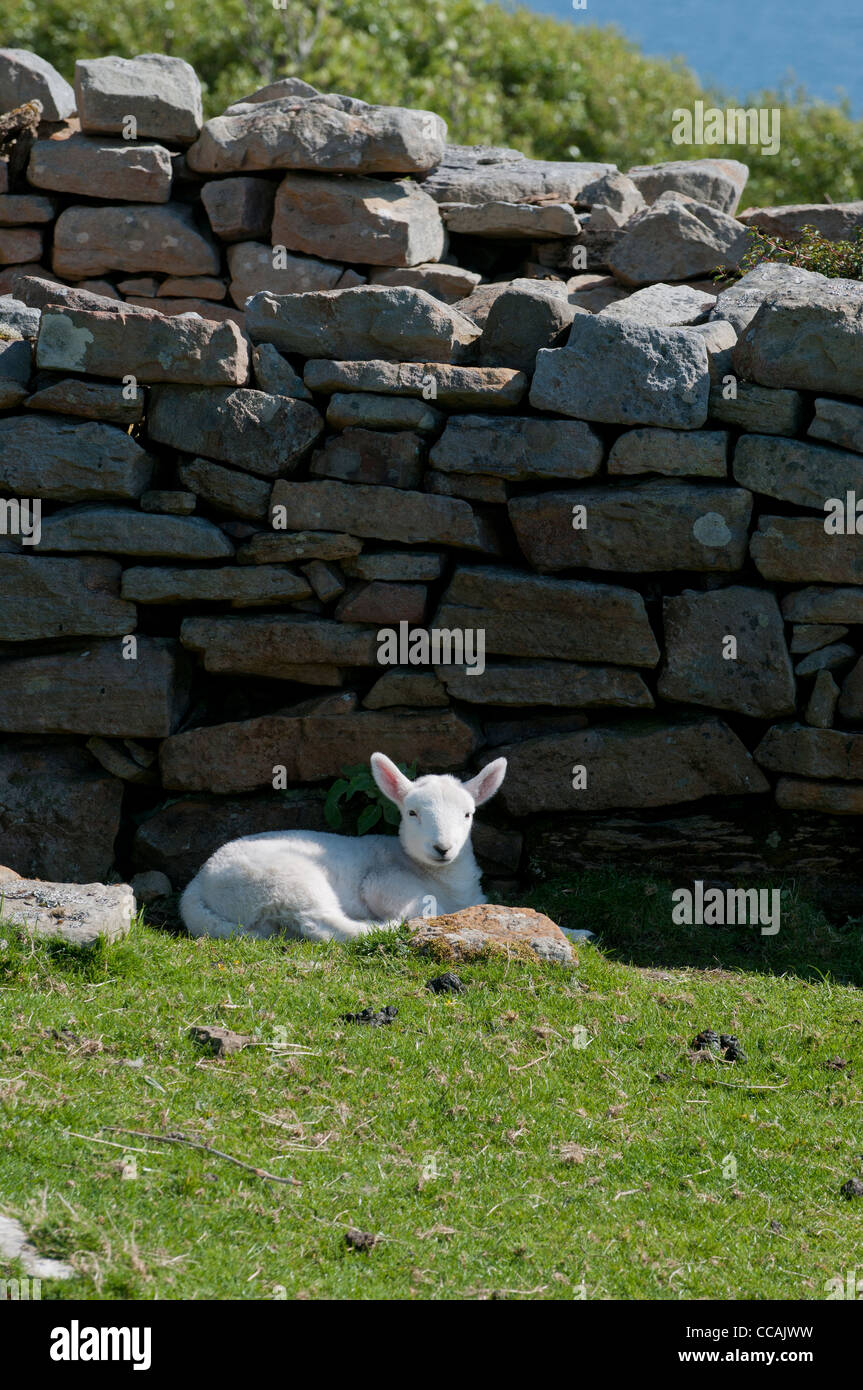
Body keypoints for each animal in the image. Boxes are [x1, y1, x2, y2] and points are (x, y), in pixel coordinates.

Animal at [179, 751, 508, 942]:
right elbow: (427, 910)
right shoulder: (386, 882)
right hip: (285, 882)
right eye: (412, 813)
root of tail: (197, 885)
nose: (443, 848)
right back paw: (380, 926)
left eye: (468, 814)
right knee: (324, 925)